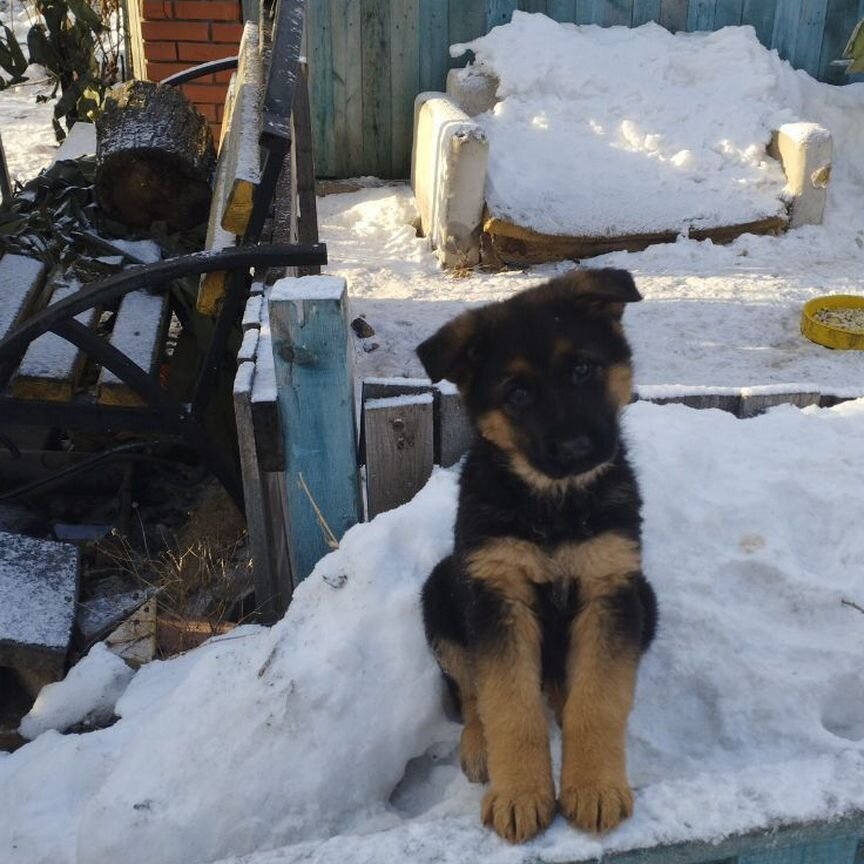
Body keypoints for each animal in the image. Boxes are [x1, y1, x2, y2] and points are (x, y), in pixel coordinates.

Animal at [416, 266, 656, 840]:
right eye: (518, 393)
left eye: (584, 369)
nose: (576, 450)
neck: (555, 506)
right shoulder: (497, 596)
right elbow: (508, 703)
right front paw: (521, 794)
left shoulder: (610, 588)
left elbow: (600, 697)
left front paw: (593, 786)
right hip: (441, 593)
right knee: (473, 695)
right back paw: (479, 748)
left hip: (647, 599)